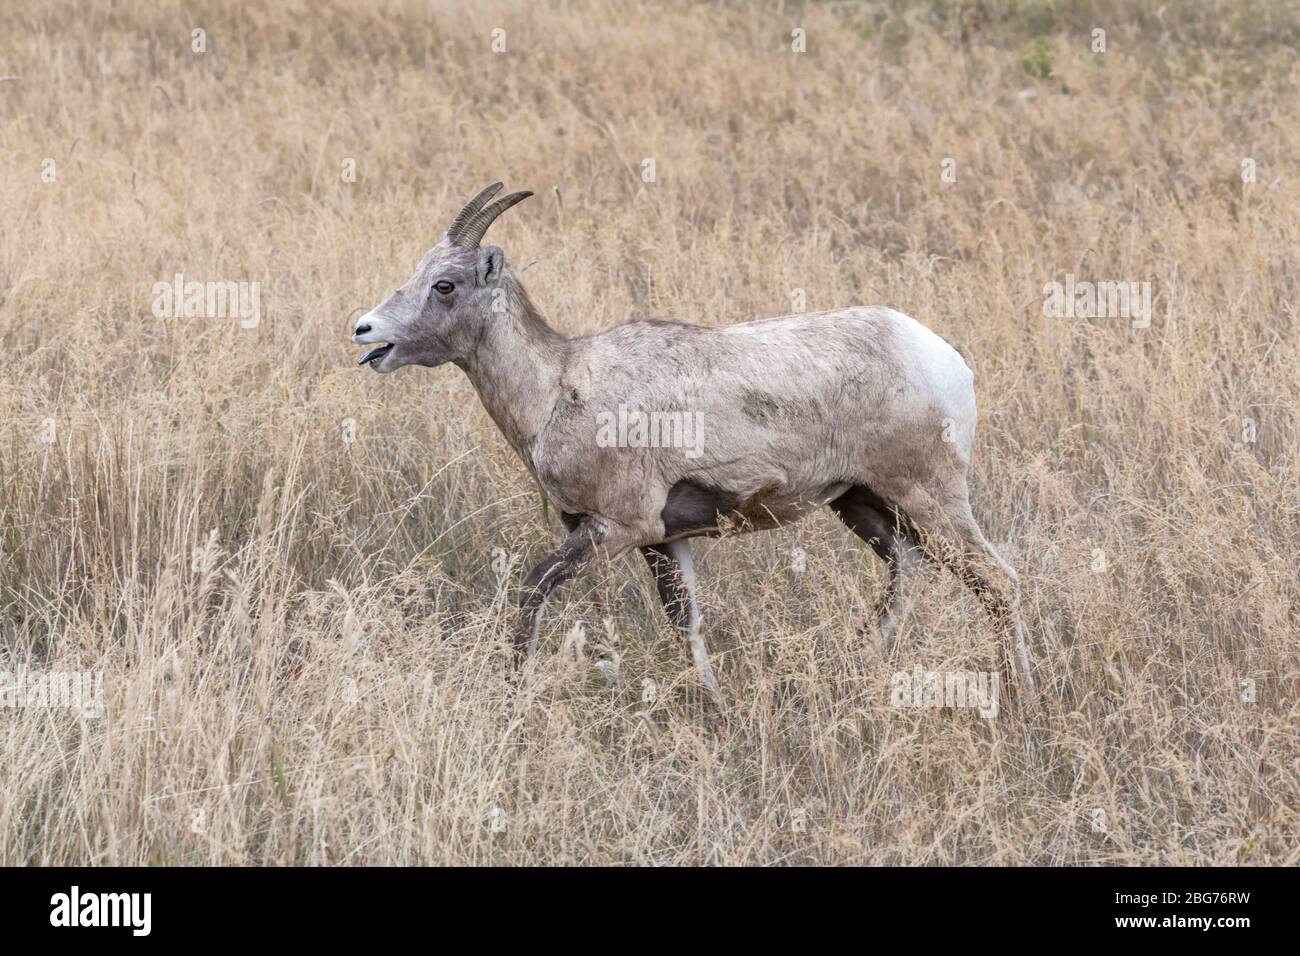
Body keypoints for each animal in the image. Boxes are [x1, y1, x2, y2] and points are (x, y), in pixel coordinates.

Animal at [352, 183, 1036, 705]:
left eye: (444, 285)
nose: (365, 331)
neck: (558, 387)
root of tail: (947, 361)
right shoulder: (664, 540)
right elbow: (686, 621)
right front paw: (713, 706)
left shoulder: (617, 528)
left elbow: (534, 587)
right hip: (861, 503)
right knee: (907, 569)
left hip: (929, 496)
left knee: (998, 582)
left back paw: (1023, 698)